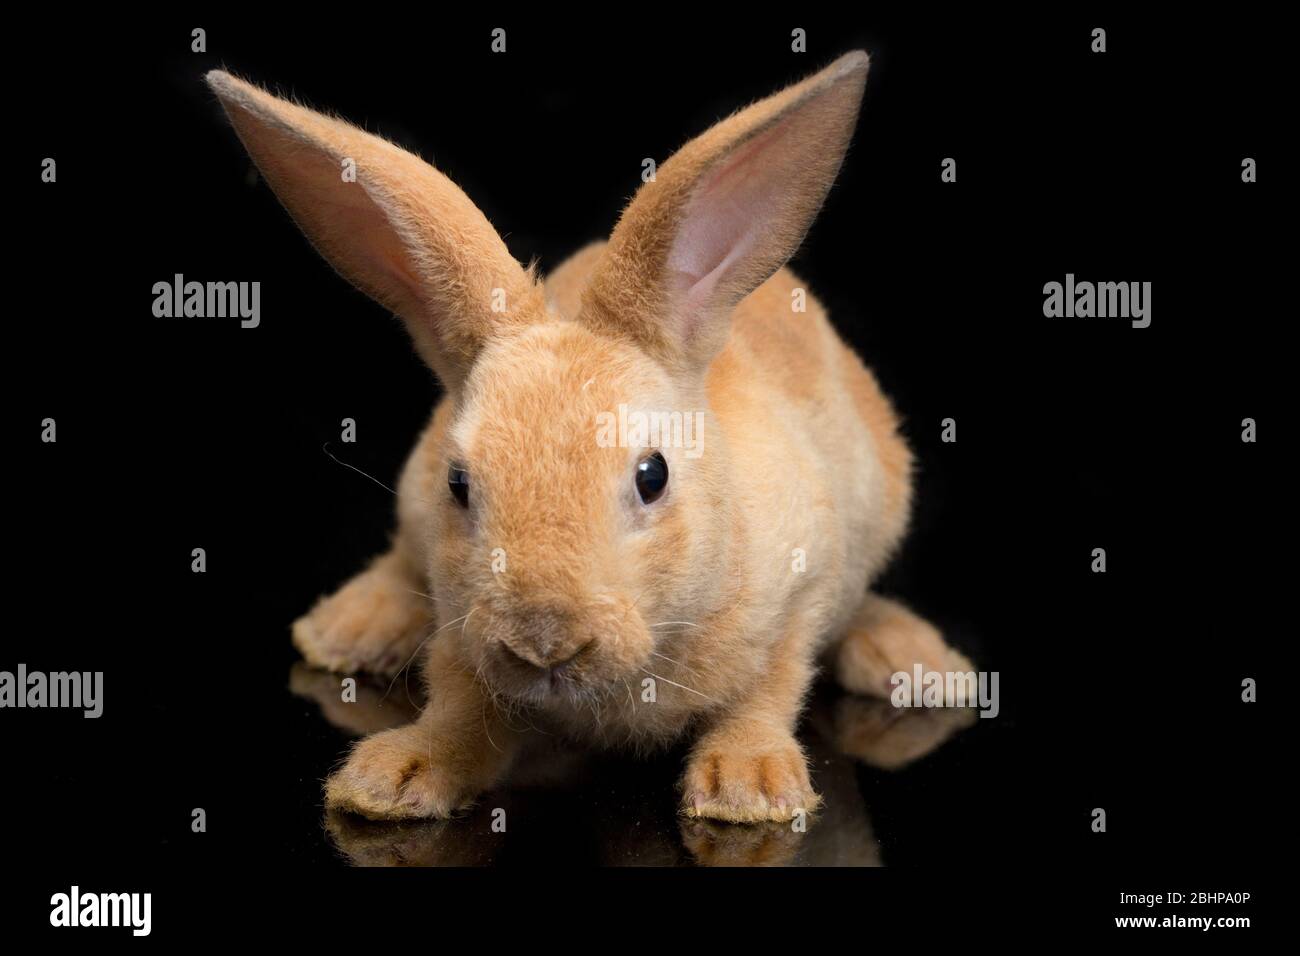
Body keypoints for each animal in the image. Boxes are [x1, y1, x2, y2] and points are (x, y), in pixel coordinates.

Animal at [207, 50, 974, 824]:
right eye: (459, 484)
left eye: (652, 475)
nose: (544, 643)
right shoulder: (458, 631)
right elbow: (457, 707)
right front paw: (390, 779)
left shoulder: (803, 587)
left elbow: (768, 691)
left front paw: (746, 789)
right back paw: (345, 632)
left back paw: (922, 669)